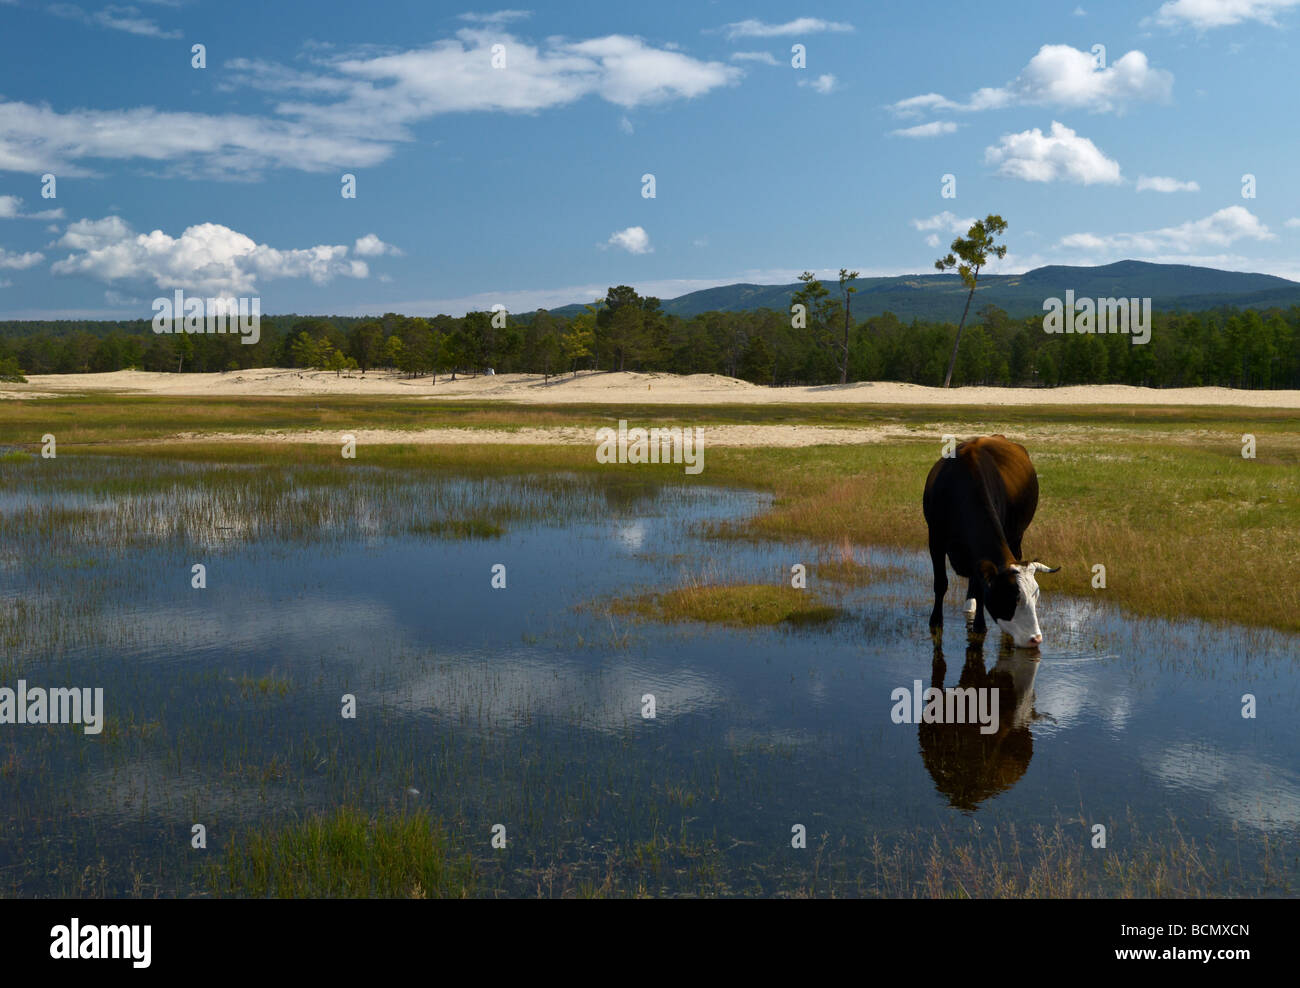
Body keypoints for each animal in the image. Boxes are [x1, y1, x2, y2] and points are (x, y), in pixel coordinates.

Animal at [922, 435, 1058, 648]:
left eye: (1036, 597)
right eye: (1012, 597)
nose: (1035, 638)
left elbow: (980, 587)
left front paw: (979, 626)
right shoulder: (935, 540)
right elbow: (941, 583)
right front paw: (935, 621)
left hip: (1017, 535)